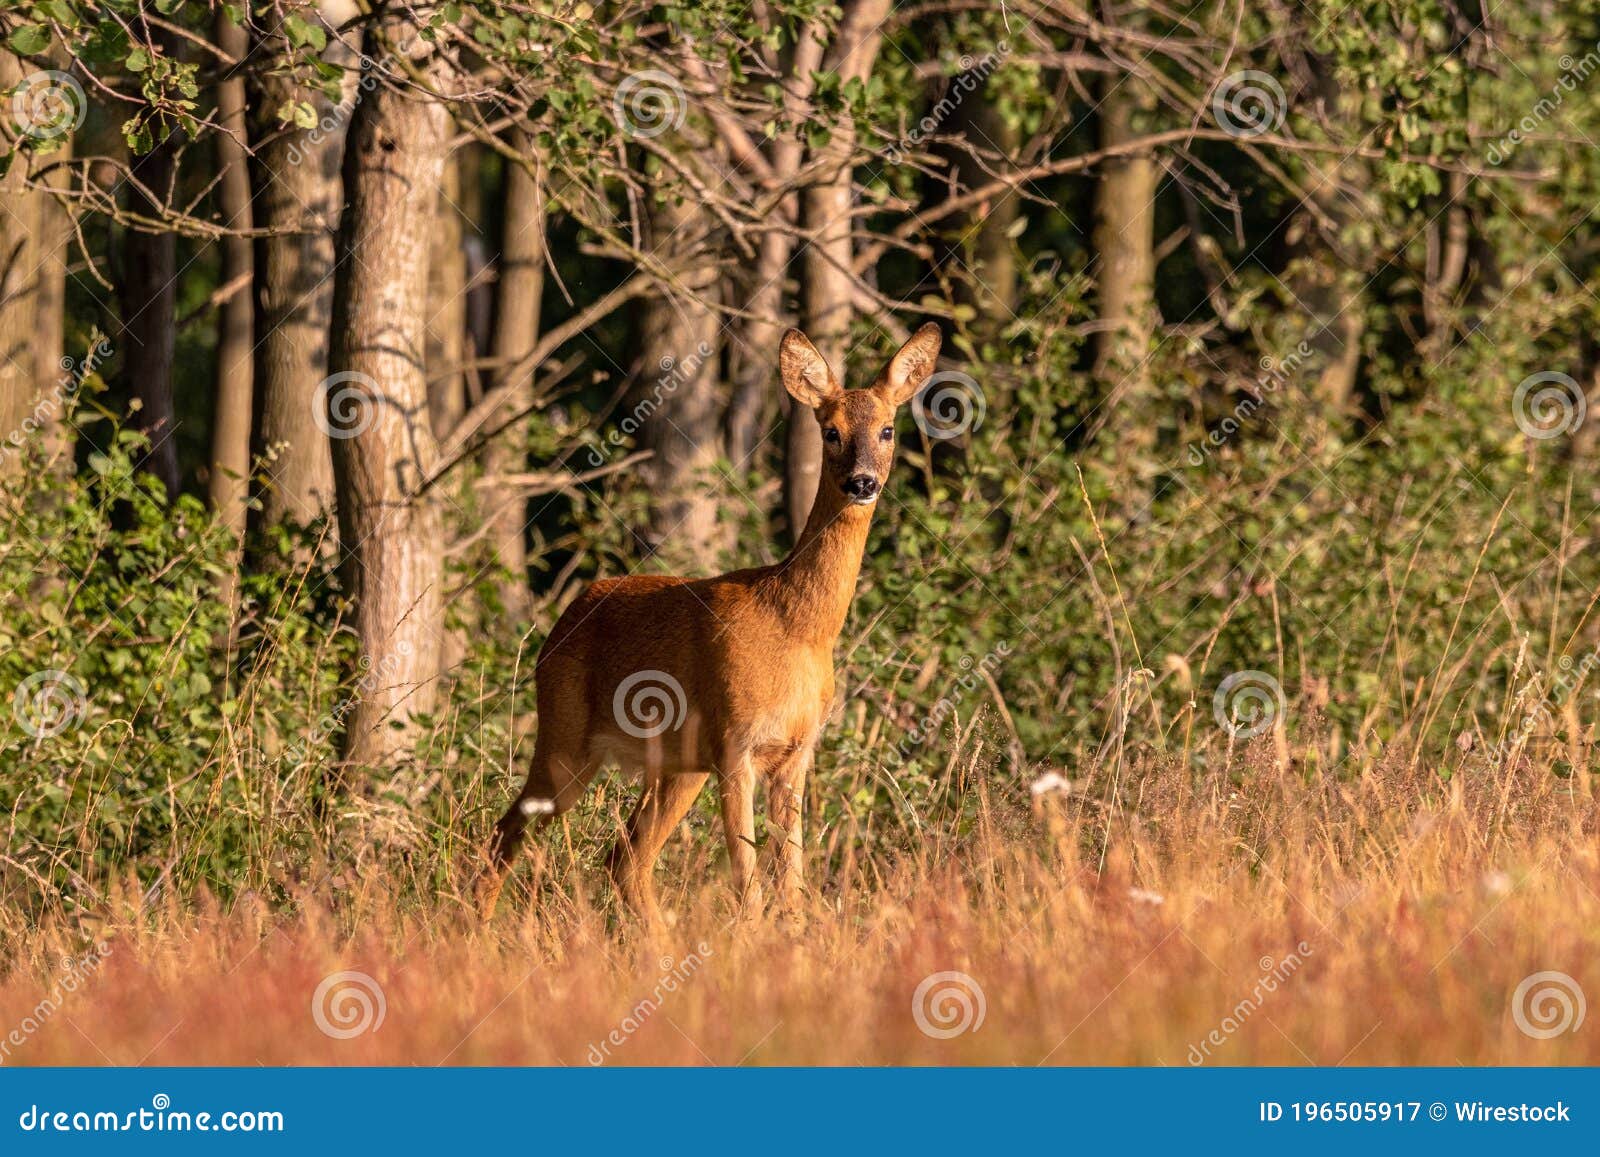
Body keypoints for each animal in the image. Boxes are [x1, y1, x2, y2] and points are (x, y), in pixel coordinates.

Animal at [475, 322, 943, 925]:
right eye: (831, 432)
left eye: (887, 430)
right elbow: (750, 886)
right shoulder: (734, 743)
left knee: (624, 860)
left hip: (676, 765)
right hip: (566, 737)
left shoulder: (795, 754)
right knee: (505, 837)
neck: (797, 628)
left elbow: (792, 887)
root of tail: (562, 621)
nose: (862, 482)